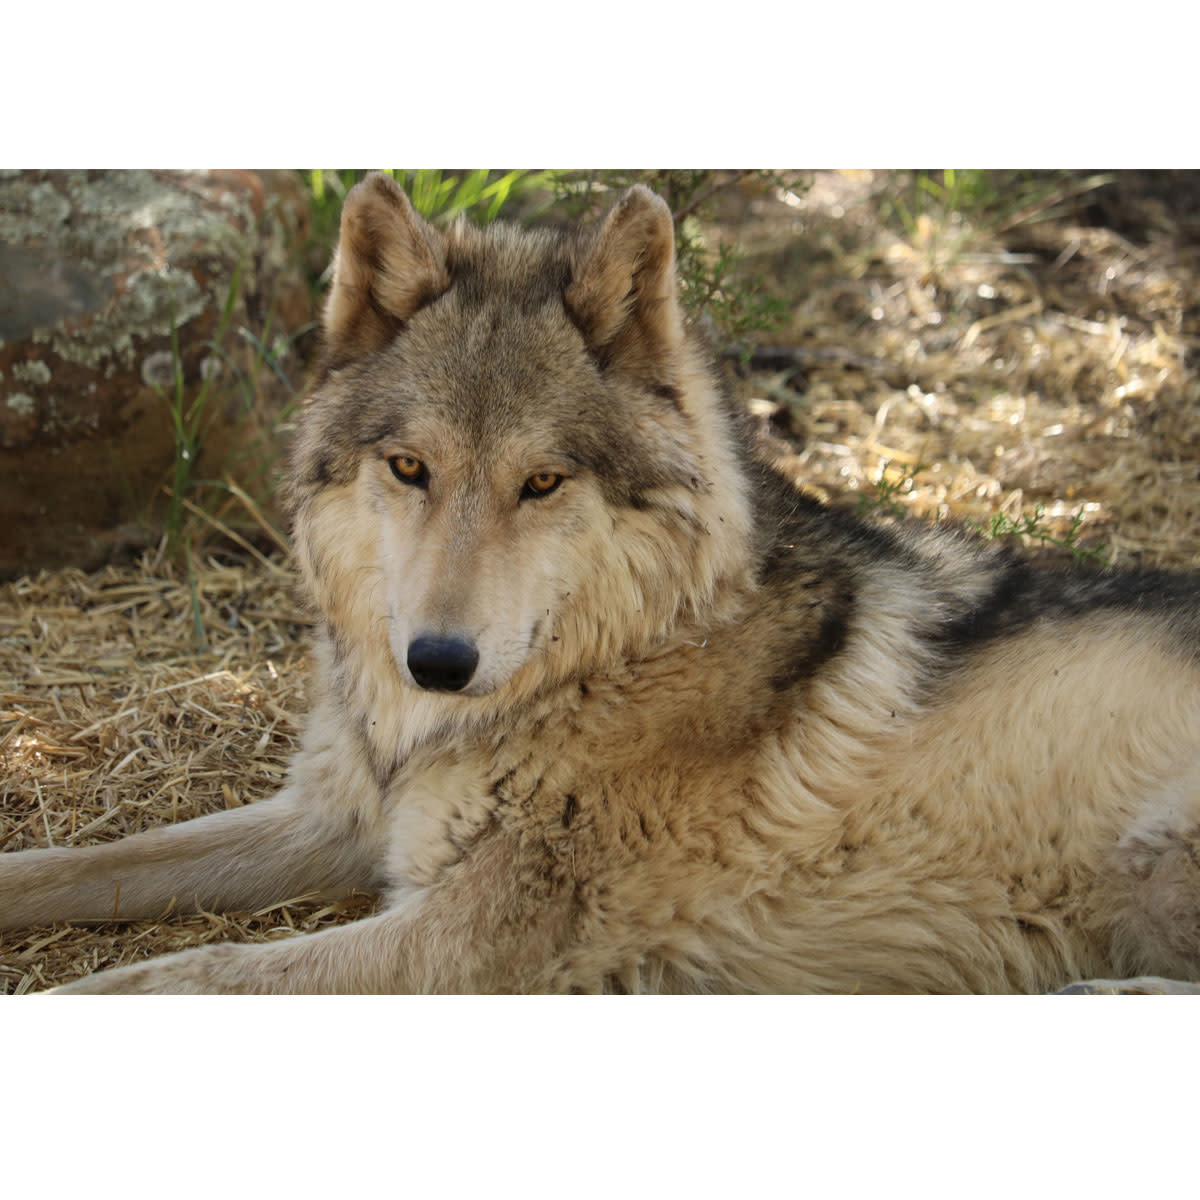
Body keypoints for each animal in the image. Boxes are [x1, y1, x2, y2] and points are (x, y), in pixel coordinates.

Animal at [3, 173, 1200, 993]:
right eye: (410, 469)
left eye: (542, 482)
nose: (437, 663)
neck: (617, 661)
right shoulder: (337, 817)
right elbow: (82, 861)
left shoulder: (461, 941)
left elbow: (170, 976)